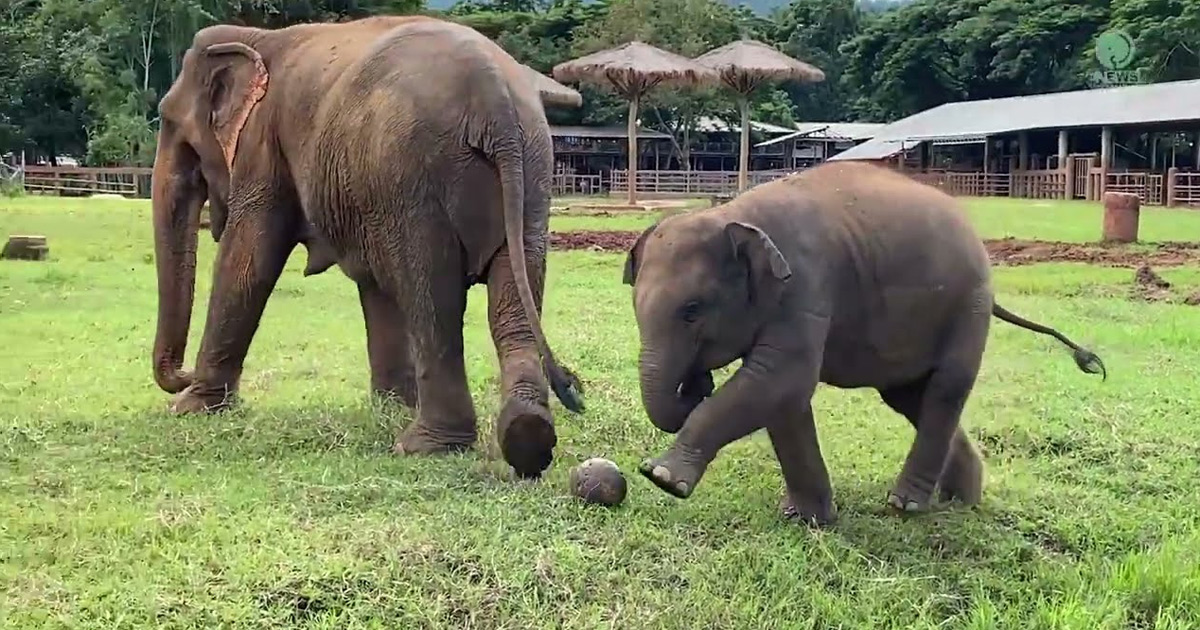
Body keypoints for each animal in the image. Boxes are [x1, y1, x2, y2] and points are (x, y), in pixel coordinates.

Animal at [149, 15, 585, 479]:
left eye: (169, 121)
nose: (182, 374)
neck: (255, 38)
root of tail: (494, 95)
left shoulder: (262, 143)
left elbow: (249, 257)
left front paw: (190, 408)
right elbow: (373, 284)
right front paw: (391, 407)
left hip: (412, 179)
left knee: (432, 297)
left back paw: (423, 446)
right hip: (530, 172)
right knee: (509, 301)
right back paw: (526, 438)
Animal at [621, 161, 1106, 526]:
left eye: (692, 310)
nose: (696, 383)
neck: (736, 214)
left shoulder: (808, 287)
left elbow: (782, 381)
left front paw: (661, 478)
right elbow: (784, 401)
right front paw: (807, 519)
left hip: (968, 305)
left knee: (945, 390)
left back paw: (906, 505)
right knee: (912, 398)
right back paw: (961, 500)